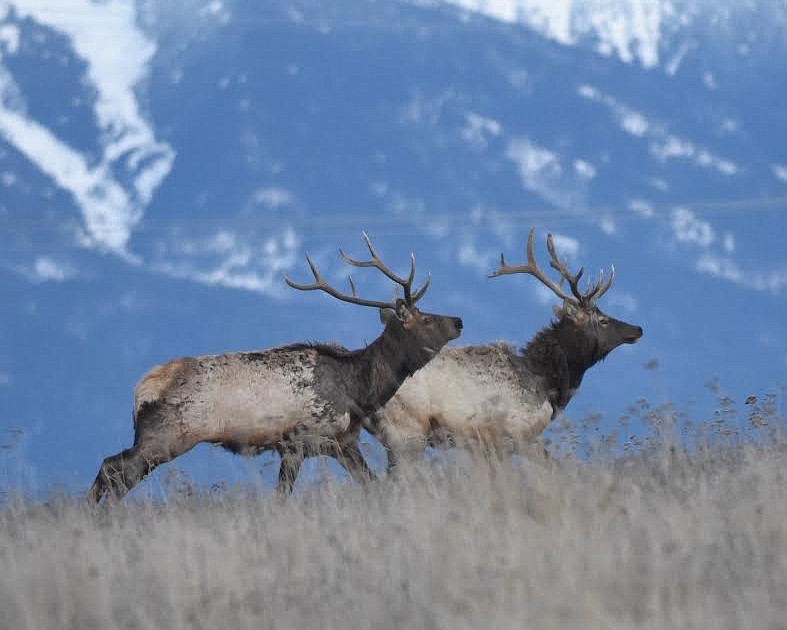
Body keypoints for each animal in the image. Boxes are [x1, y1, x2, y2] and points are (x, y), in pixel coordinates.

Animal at [87, 233, 463, 503]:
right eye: (426, 318)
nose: (458, 321)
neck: (358, 393)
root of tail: (144, 387)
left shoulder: (341, 442)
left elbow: (372, 484)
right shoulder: (298, 439)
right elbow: (282, 496)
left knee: (113, 468)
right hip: (168, 434)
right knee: (115, 469)